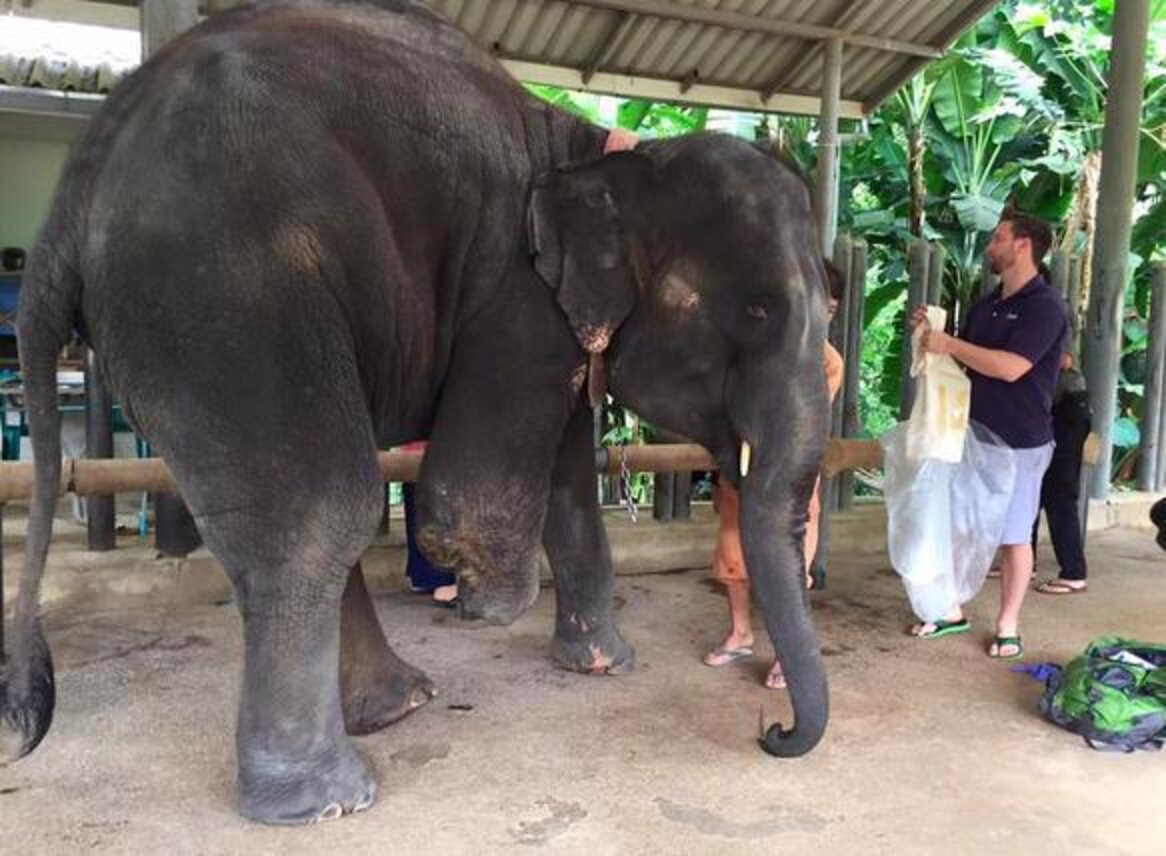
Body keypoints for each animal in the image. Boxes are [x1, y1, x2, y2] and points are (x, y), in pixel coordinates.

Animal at [1, 0, 831, 825]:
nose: (771, 732)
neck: (604, 154)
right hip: (223, 294)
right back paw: (329, 799)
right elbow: (464, 500)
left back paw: (394, 709)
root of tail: (79, 181)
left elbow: (568, 485)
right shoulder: (517, 297)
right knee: (322, 507)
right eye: (758, 311)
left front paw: (602, 665)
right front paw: (485, 605)